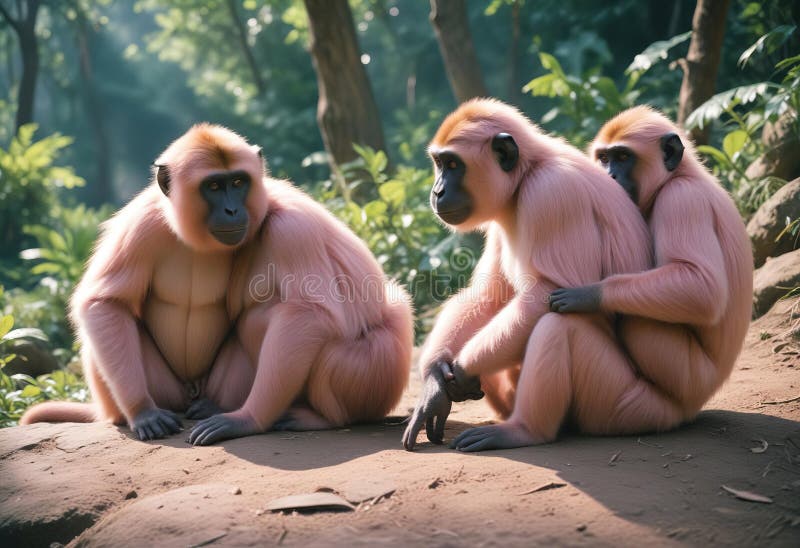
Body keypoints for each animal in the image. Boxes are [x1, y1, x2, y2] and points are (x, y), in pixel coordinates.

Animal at [21, 124, 268, 440]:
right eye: (213, 187)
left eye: (238, 182)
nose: (232, 211)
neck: (195, 239)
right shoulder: (142, 224)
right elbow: (105, 303)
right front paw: (142, 411)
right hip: (163, 391)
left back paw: (215, 407)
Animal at [403, 98, 679, 451]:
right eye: (439, 164)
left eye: (452, 165)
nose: (437, 191)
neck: (528, 173)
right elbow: (488, 294)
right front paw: (435, 379)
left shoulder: (552, 194)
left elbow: (545, 295)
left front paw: (457, 375)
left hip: (627, 403)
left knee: (558, 323)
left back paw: (523, 430)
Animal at [548, 106, 753, 422]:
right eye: (604, 158)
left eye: (622, 157)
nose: (609, 174)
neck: (680, 176)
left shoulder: (682, 198)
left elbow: (703, 288)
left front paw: (588, 294)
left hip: (693, 376)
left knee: (637, 321)